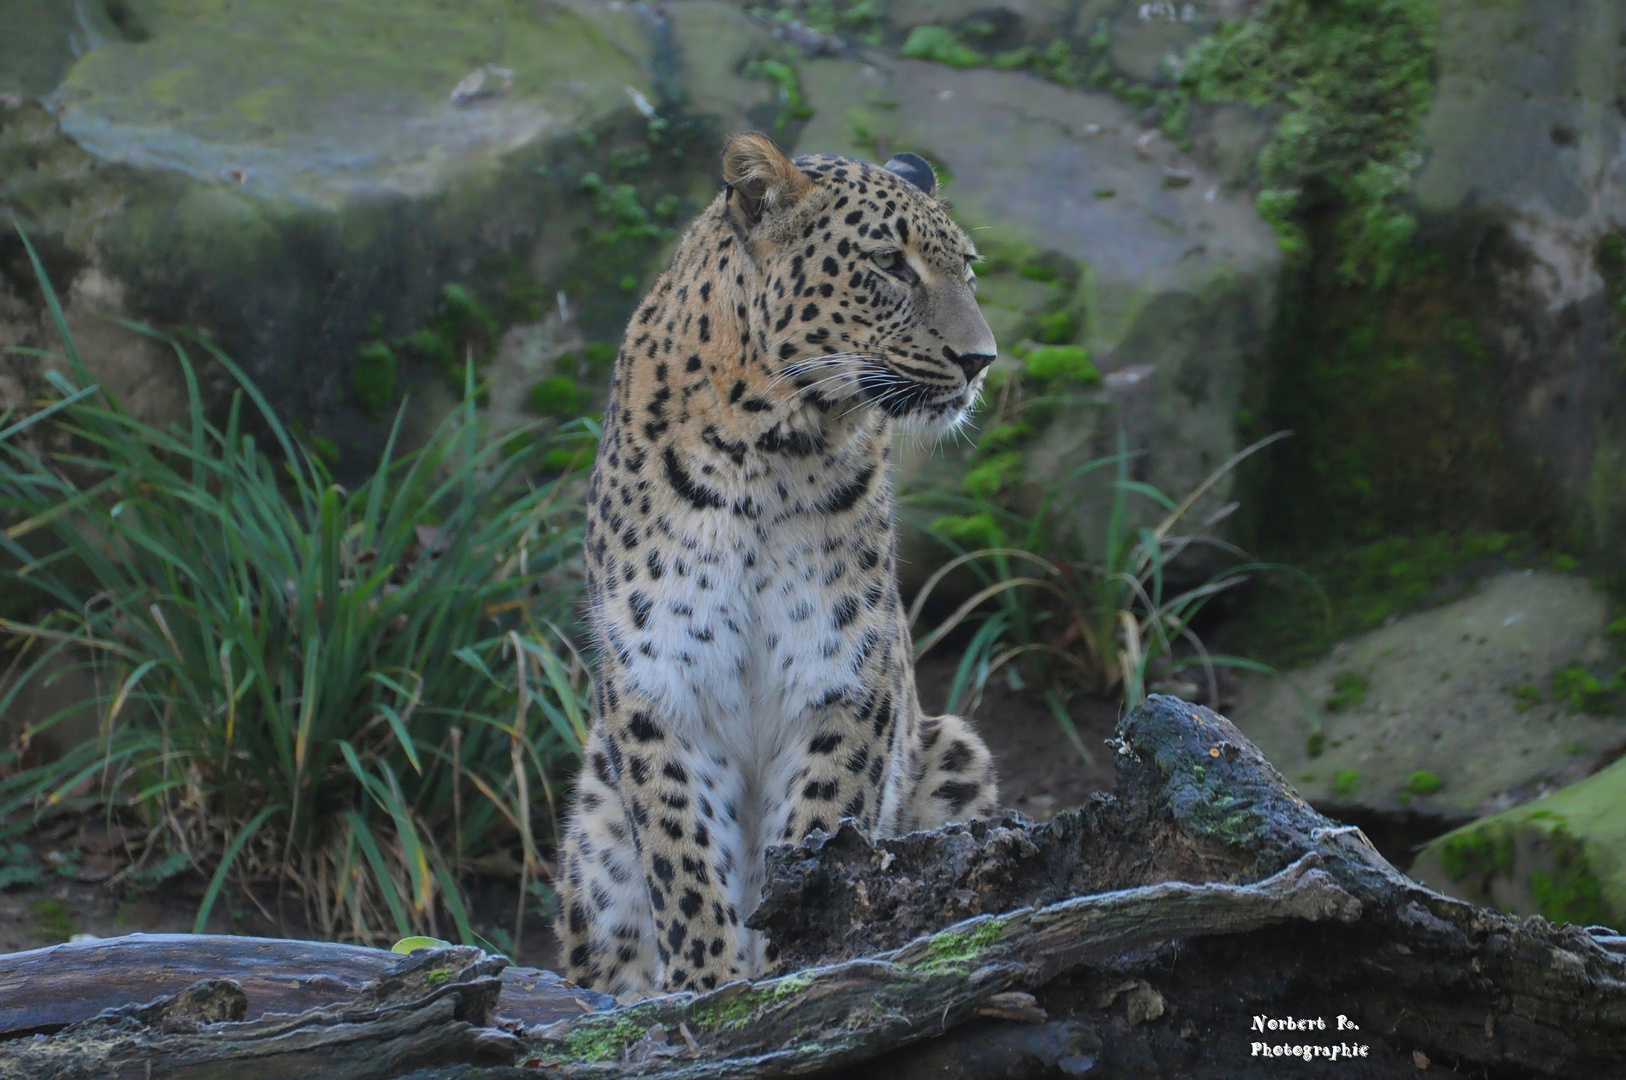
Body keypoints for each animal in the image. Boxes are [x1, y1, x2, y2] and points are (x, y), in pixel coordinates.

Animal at [554, 131, 1000, 999]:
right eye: (891, 266)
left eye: (966, 267)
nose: (981, 360)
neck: (769, 450)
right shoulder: (661, 678)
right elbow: (683, 857)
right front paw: (706, 986)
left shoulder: (844, 672)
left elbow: (821, 832)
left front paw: (800, 961)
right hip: (592, 824)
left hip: (957, 749)